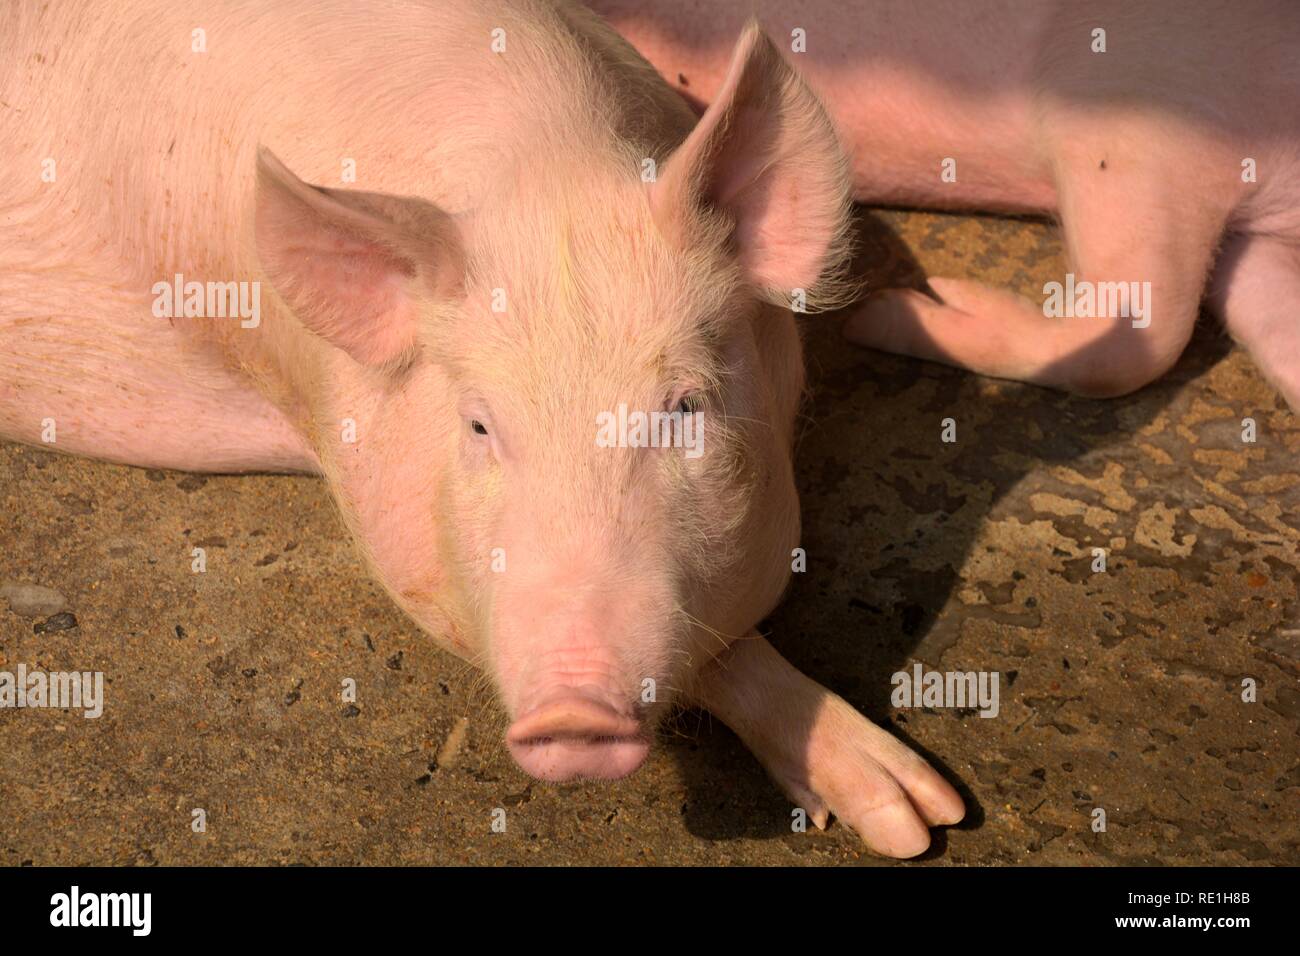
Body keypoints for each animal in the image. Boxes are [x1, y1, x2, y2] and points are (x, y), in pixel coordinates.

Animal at [0, 0, 964, 857]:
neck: (545, 169)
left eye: (687, 408)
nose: (575, 710)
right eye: (477, 425)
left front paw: (921, 818)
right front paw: (917, 823)